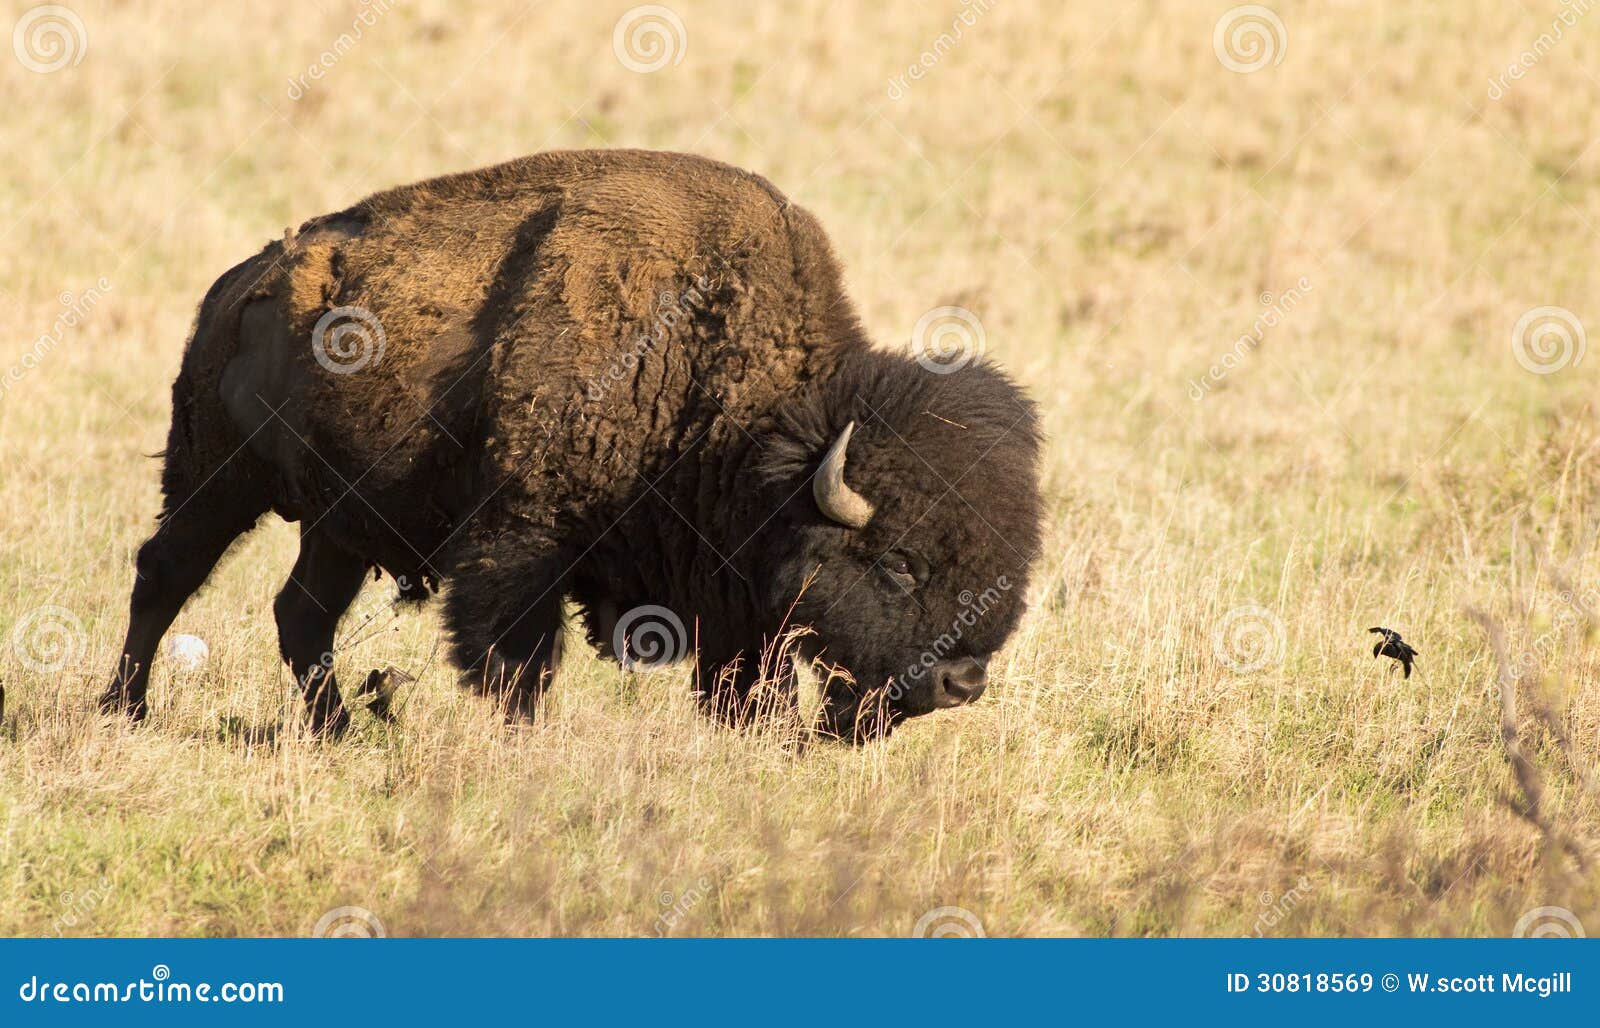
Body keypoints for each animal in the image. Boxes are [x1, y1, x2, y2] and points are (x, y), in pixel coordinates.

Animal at [101, 149, 1043, 741]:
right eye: (899, 564)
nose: (961, 683)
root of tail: (240, 284)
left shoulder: (736, 599)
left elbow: (750, 688)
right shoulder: (523, 541)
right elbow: (518, 663)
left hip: (339, 524)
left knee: (301, 615)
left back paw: (335, 733)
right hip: (216, 481)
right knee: (165, 573)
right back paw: (123, 710)